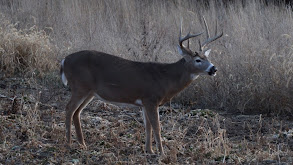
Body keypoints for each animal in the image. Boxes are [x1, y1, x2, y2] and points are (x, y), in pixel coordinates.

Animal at [60, 18, 222, 156]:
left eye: (207, 58)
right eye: (198, 60)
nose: (214, 69)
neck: (166, 78)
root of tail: (64, 61)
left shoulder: (144, 102)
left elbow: (148, 126)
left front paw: (149, 150)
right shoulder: (151, 99)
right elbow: (157, 126)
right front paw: (161, 153)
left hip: (90, 92)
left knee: (77, 112)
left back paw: (82, 144)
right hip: (80, 87)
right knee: (69, 108)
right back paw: (68, 143)